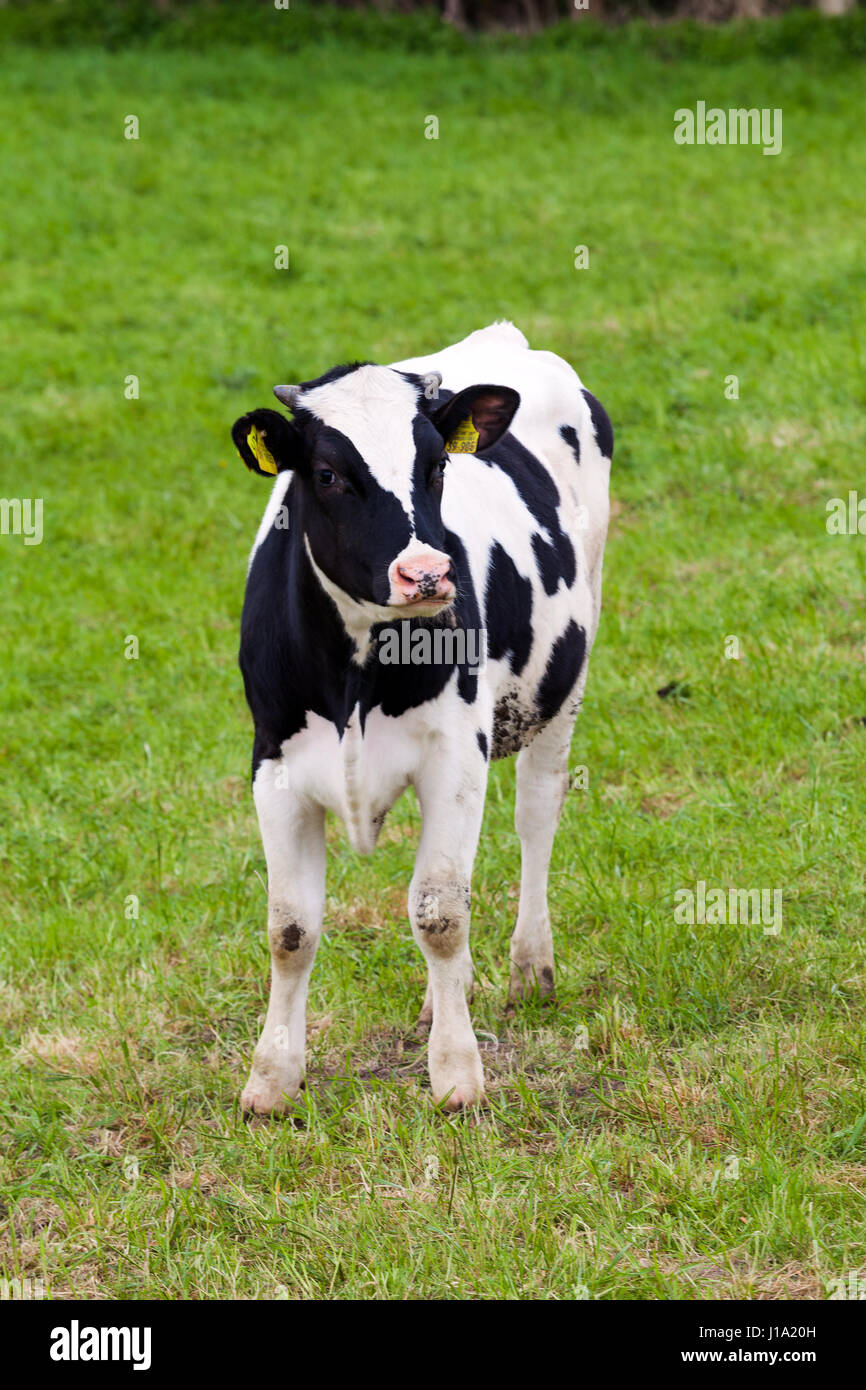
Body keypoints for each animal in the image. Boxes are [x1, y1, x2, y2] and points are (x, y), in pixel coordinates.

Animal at [230, 321, 612, 1114]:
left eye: (436, 465)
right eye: (327, 474)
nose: (427, 573)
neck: (353, 669)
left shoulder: (453, 756)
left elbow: (439, 913)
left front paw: (457, 1074)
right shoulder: (273, 764)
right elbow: (290, 929)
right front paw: (272, 1080)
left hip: (568, 671)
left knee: (537, 814)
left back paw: (530, 967)